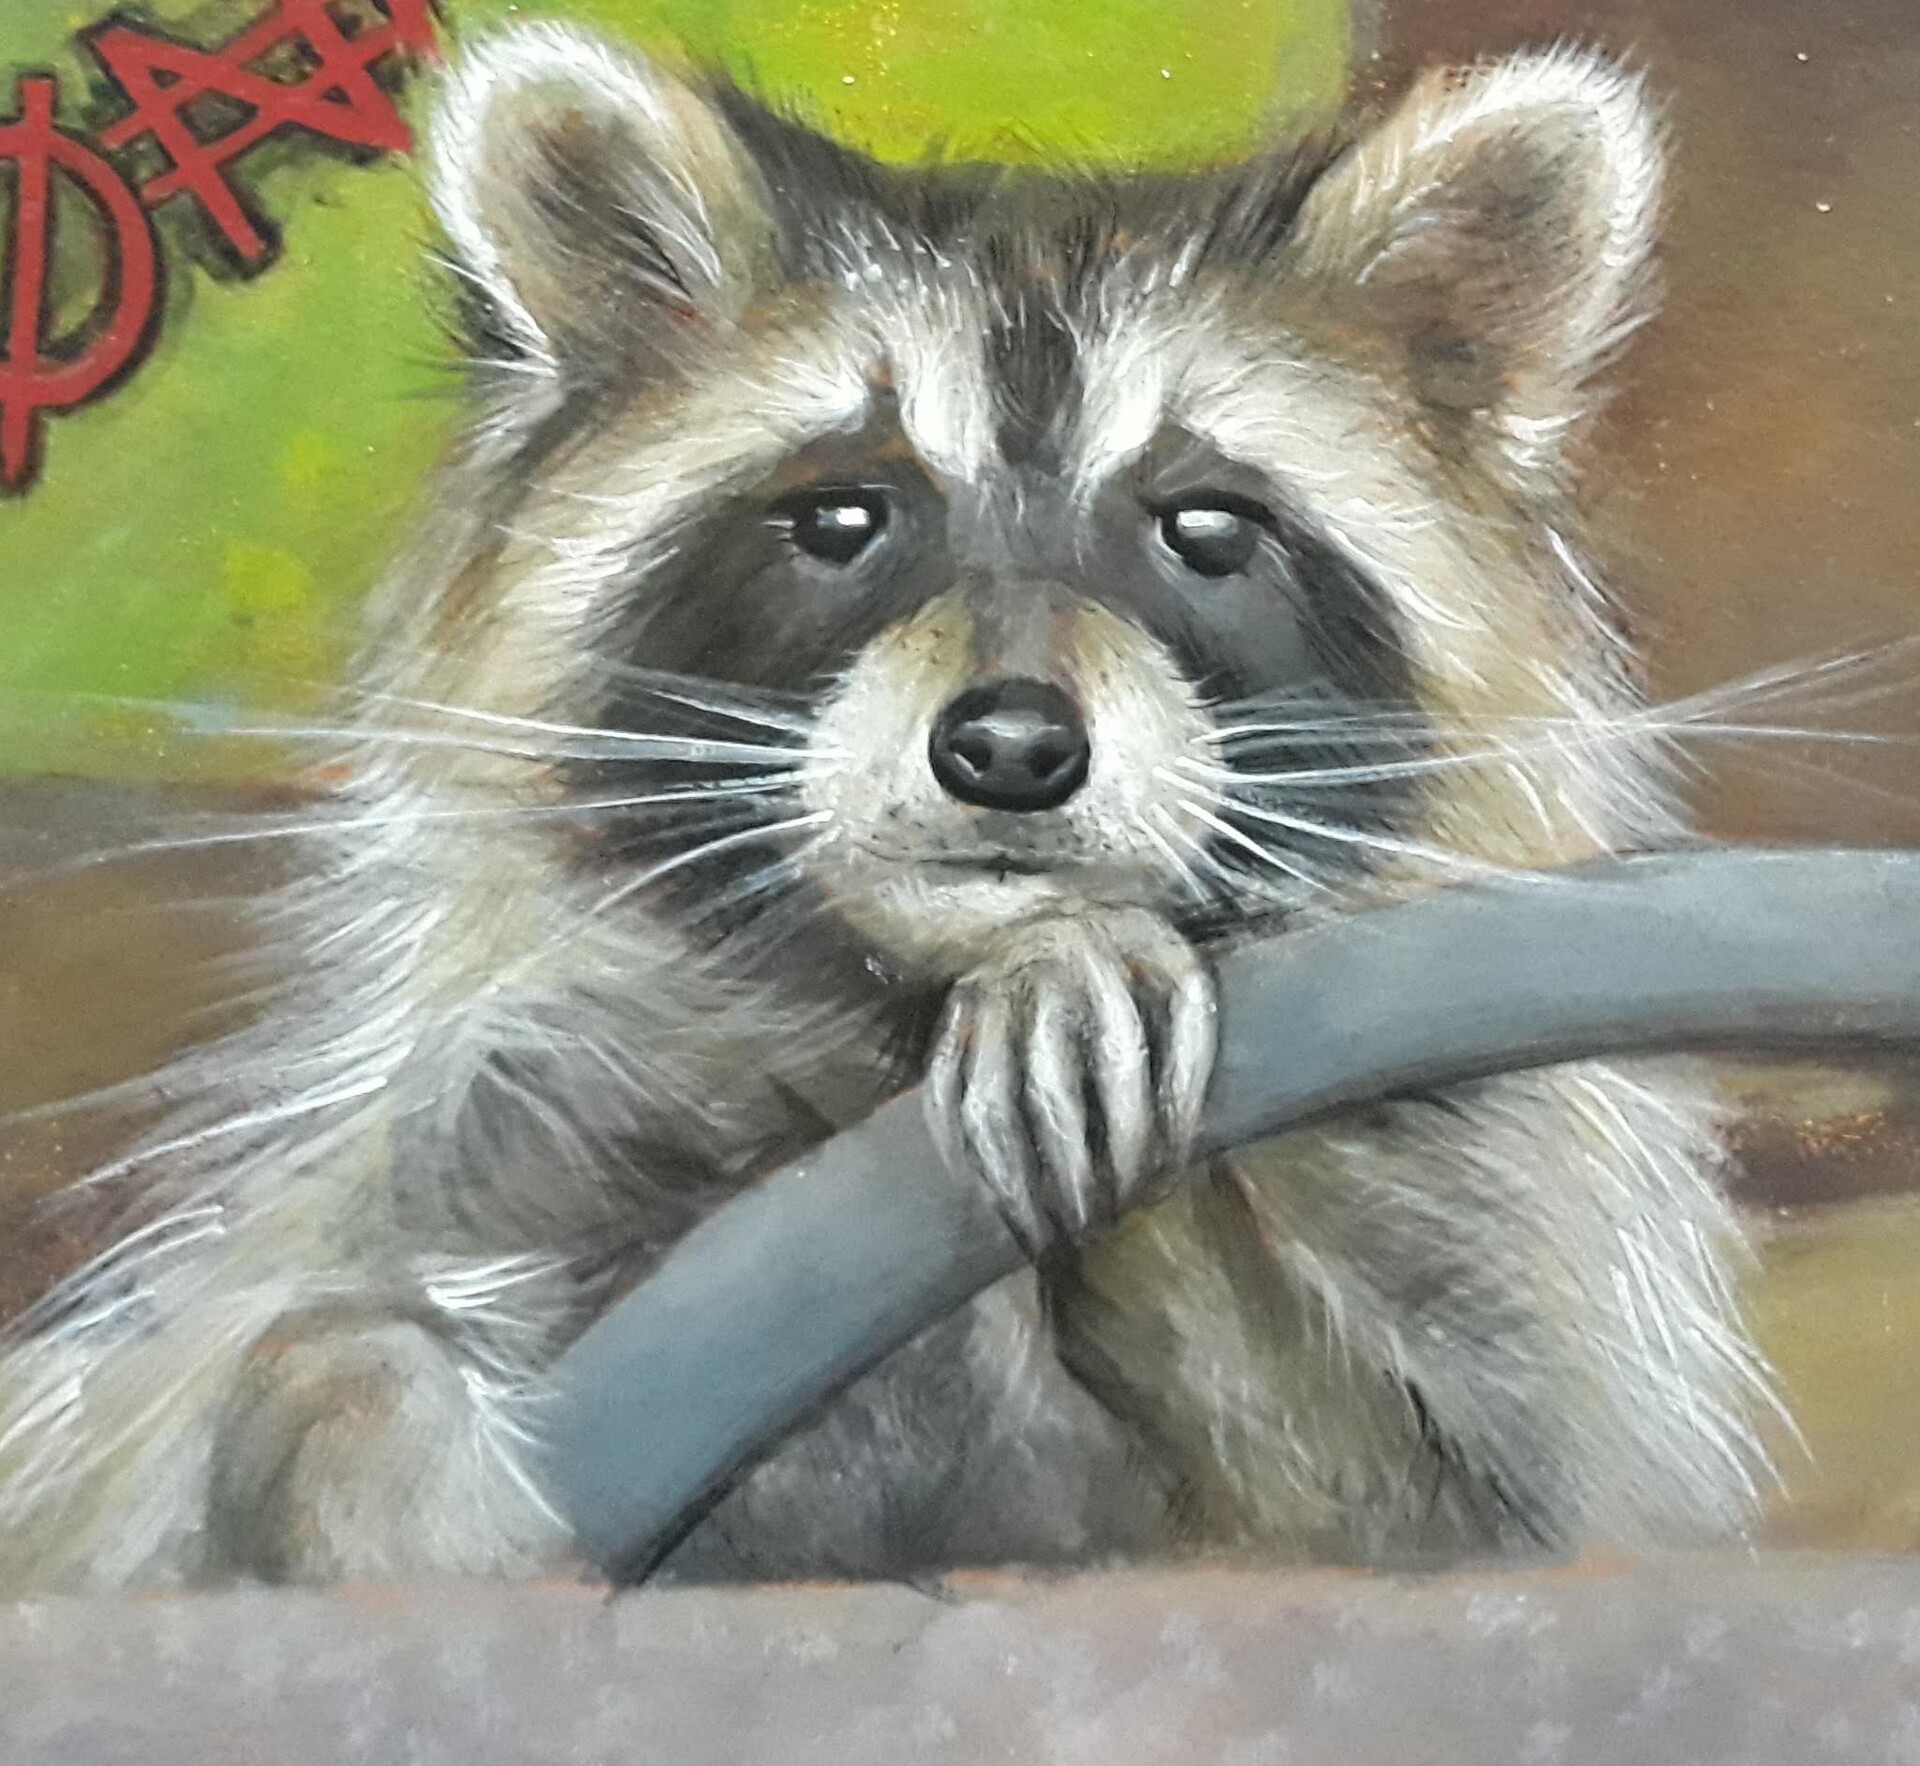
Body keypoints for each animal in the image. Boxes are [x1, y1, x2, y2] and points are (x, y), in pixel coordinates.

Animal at [0, 26, 1769, 1587]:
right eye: (846, 515)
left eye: (1204, 525)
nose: (1010, 748)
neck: (901, 1003)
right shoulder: (497, 1147)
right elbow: (289, 1365)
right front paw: (392, 1464)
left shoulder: (1499, 1295)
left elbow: (1420, 1496)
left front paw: (1126, 1121)